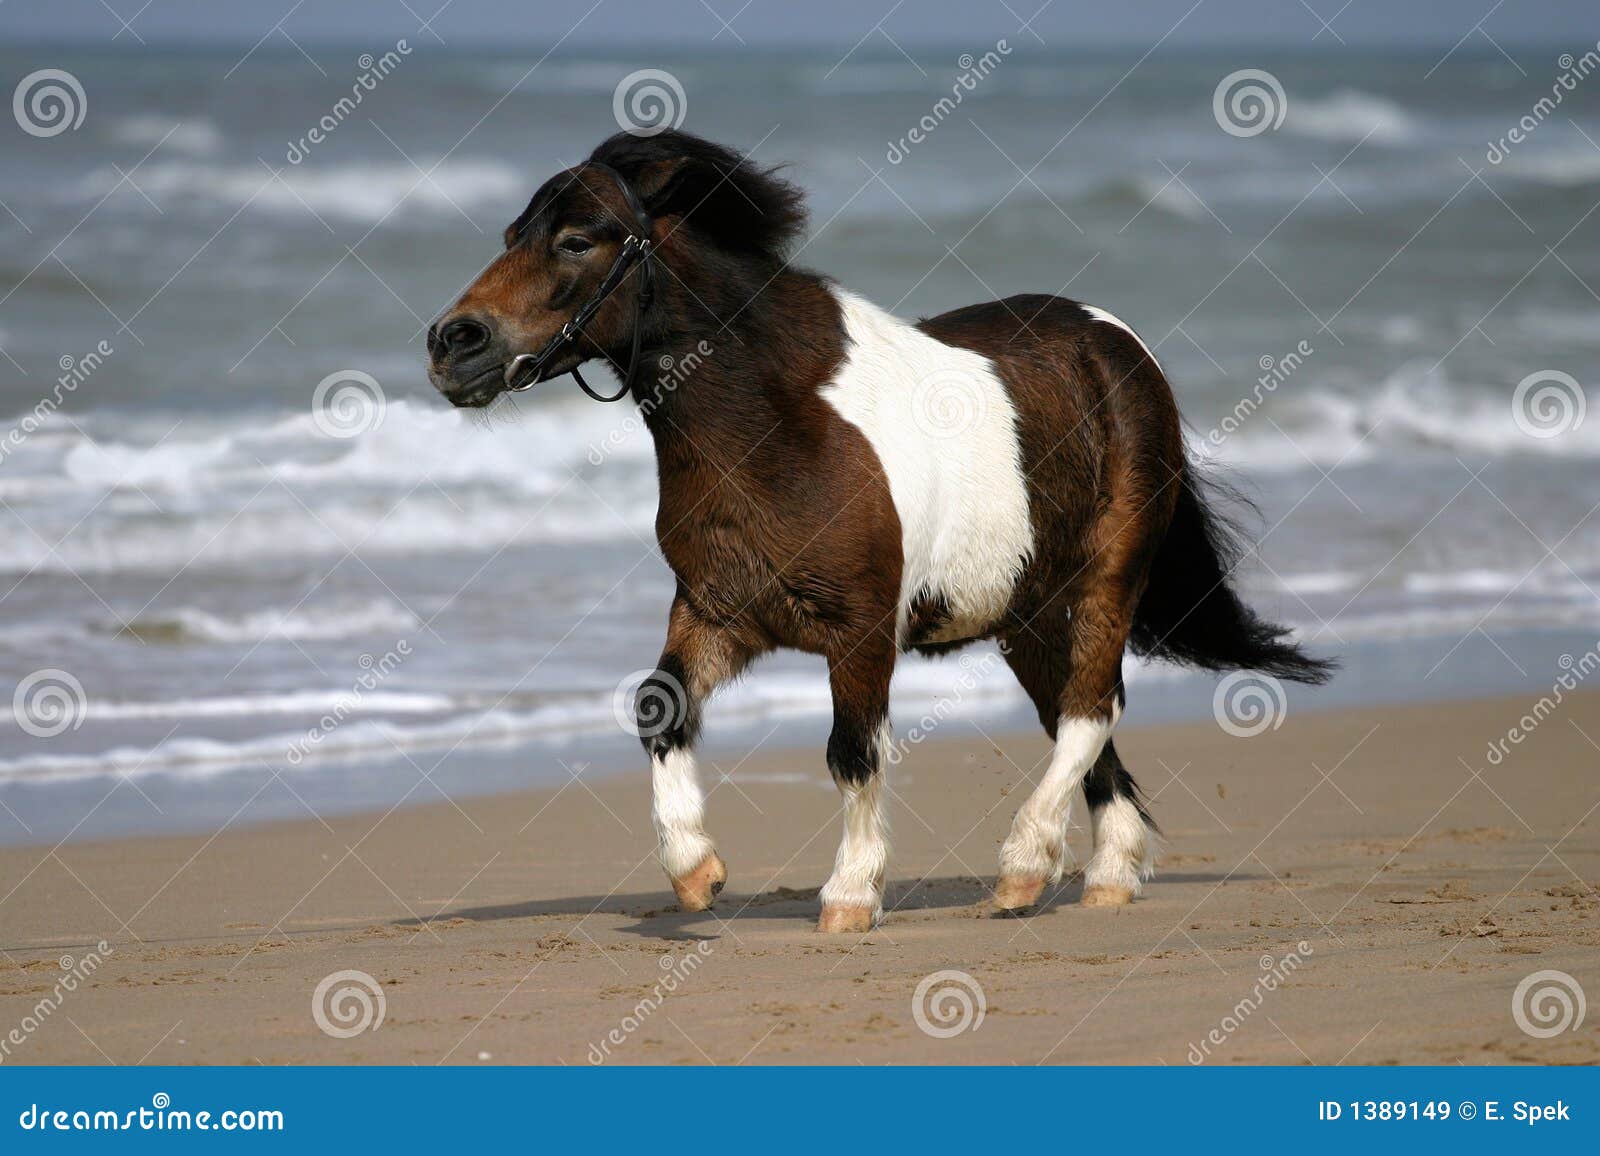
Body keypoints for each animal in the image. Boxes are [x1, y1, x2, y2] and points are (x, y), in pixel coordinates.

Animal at [426, 129, 1332, 934]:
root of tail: (1117, 343)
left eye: (577, 240)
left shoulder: (861, 628)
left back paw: (1025, 869)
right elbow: (659, 706)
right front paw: (696, 872)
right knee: (1084, 719)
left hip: (1111, 575)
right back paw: (1102, 875)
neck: (783, 422)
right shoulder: (718, 612)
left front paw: (850, 897)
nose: (451, 345)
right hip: (1027, 614)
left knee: (1087, 708)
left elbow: (853, 753)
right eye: (512, 235)